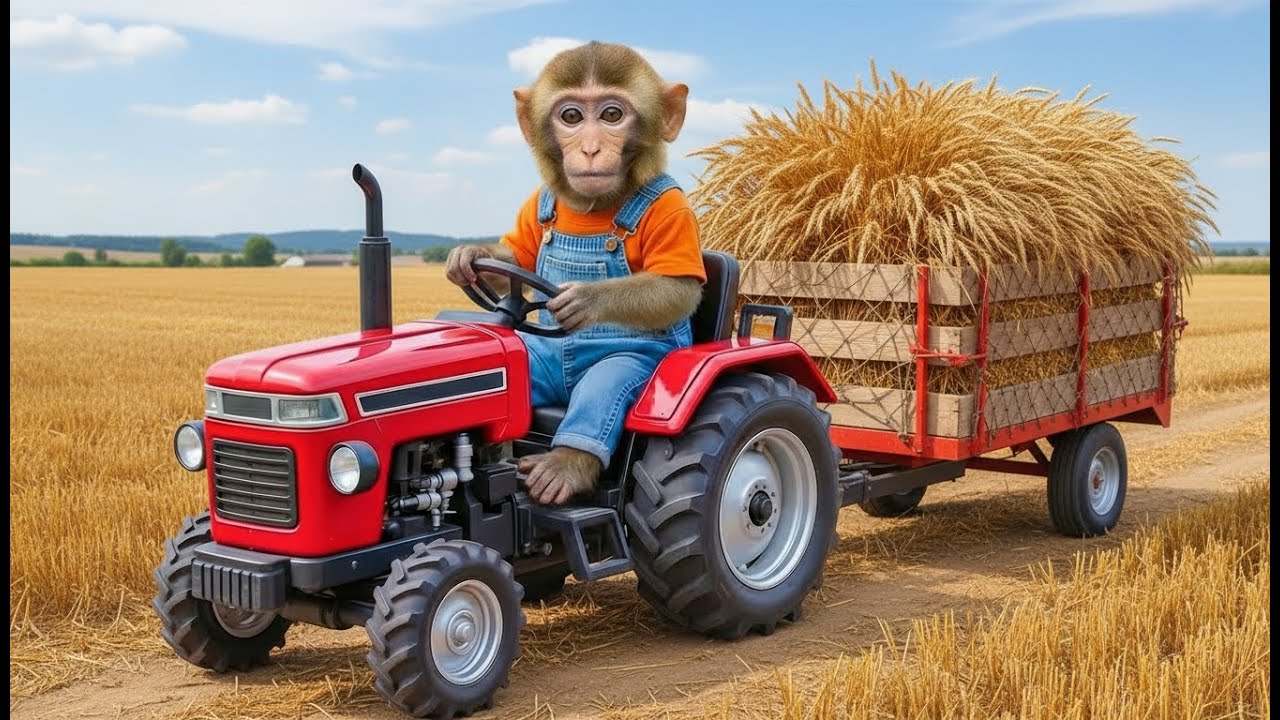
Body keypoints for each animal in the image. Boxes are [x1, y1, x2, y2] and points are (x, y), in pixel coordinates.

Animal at [446, 41, 704, 505]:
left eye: (612, 115)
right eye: (571, 117)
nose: (589, 149)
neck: (593, 208)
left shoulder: (674, 211)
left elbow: (677, 288)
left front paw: (585, 298)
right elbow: (516, 258)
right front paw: (467, 256)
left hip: (645, 376)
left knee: (602, 393)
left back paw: (563, 468)